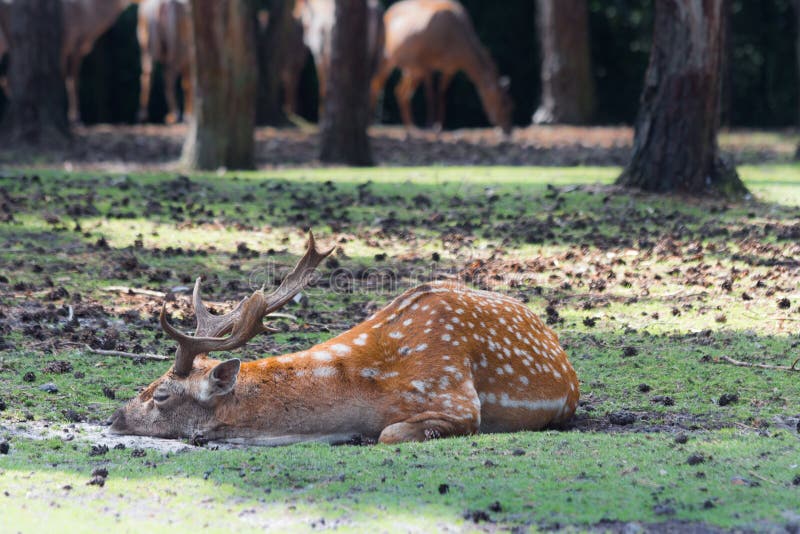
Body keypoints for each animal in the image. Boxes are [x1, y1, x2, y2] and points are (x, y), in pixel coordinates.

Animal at [370, 0, 513, 134]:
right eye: (502, 103)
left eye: (511, 105)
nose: (508, 130)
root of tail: (389, 10)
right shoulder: (427, 64)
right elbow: (430, 94)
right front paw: (429, 124)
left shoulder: (449, 68)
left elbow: (441, 93)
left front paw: (439, 125)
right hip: (386, 60)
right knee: (377, 84)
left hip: (413, 70)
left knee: (401, 91)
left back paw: (410, 126)